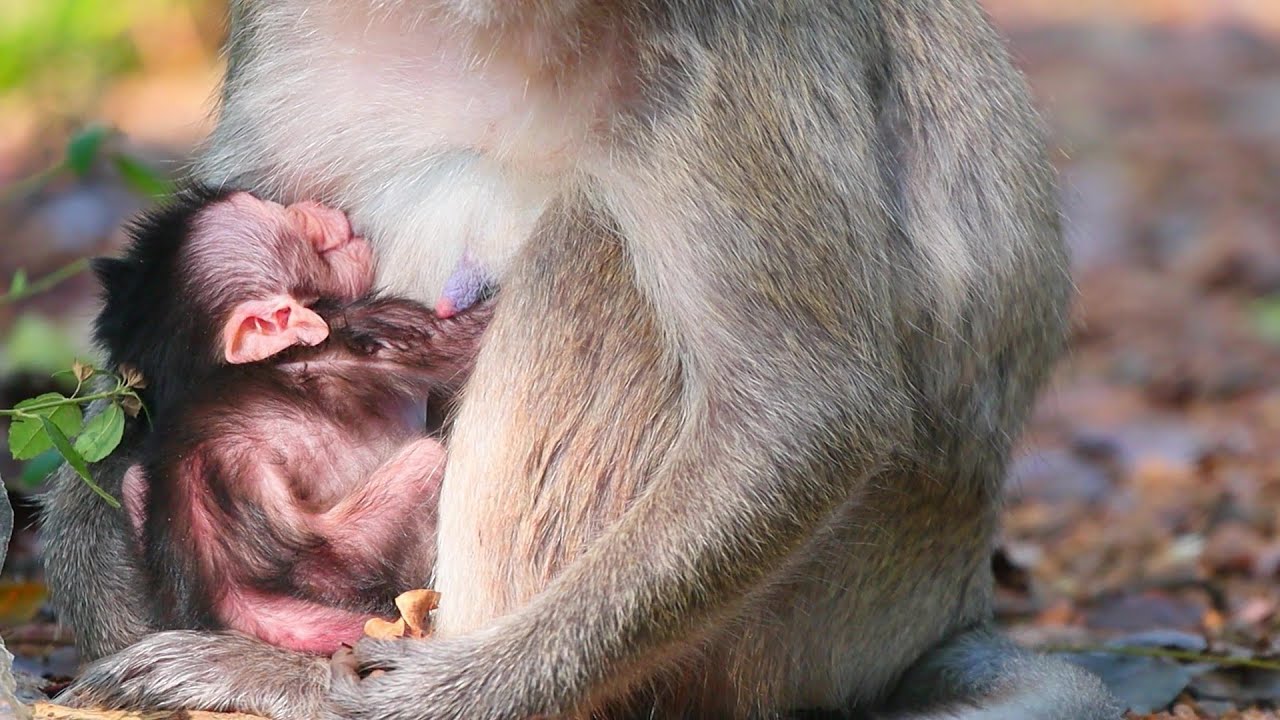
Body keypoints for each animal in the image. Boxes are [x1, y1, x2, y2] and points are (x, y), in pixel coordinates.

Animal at [91, 185, 493, 655]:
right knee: (427, 459)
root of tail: (229, 591)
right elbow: (466, 341)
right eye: (299, 228)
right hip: (348, 558)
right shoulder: (368, 326)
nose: (315, 209)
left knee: (133, 481)